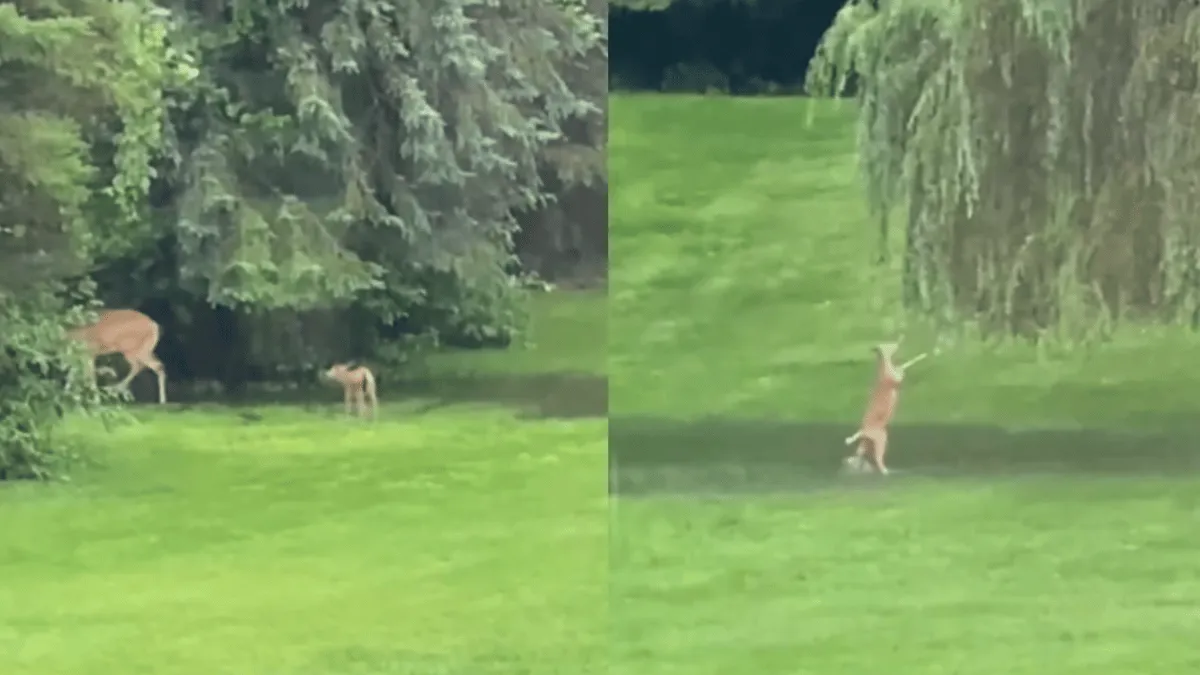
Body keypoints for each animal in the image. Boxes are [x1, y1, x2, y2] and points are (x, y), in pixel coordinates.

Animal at [843, 341, 927, 475]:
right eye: (889, 345)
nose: (897, 344)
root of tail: (864, 430)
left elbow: (903, 366)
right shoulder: (895, 378)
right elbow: (903, 368)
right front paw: (922, 355)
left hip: (867, 442)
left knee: (859, 451)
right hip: (881, 438)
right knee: (877, 458)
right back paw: (886, 471)